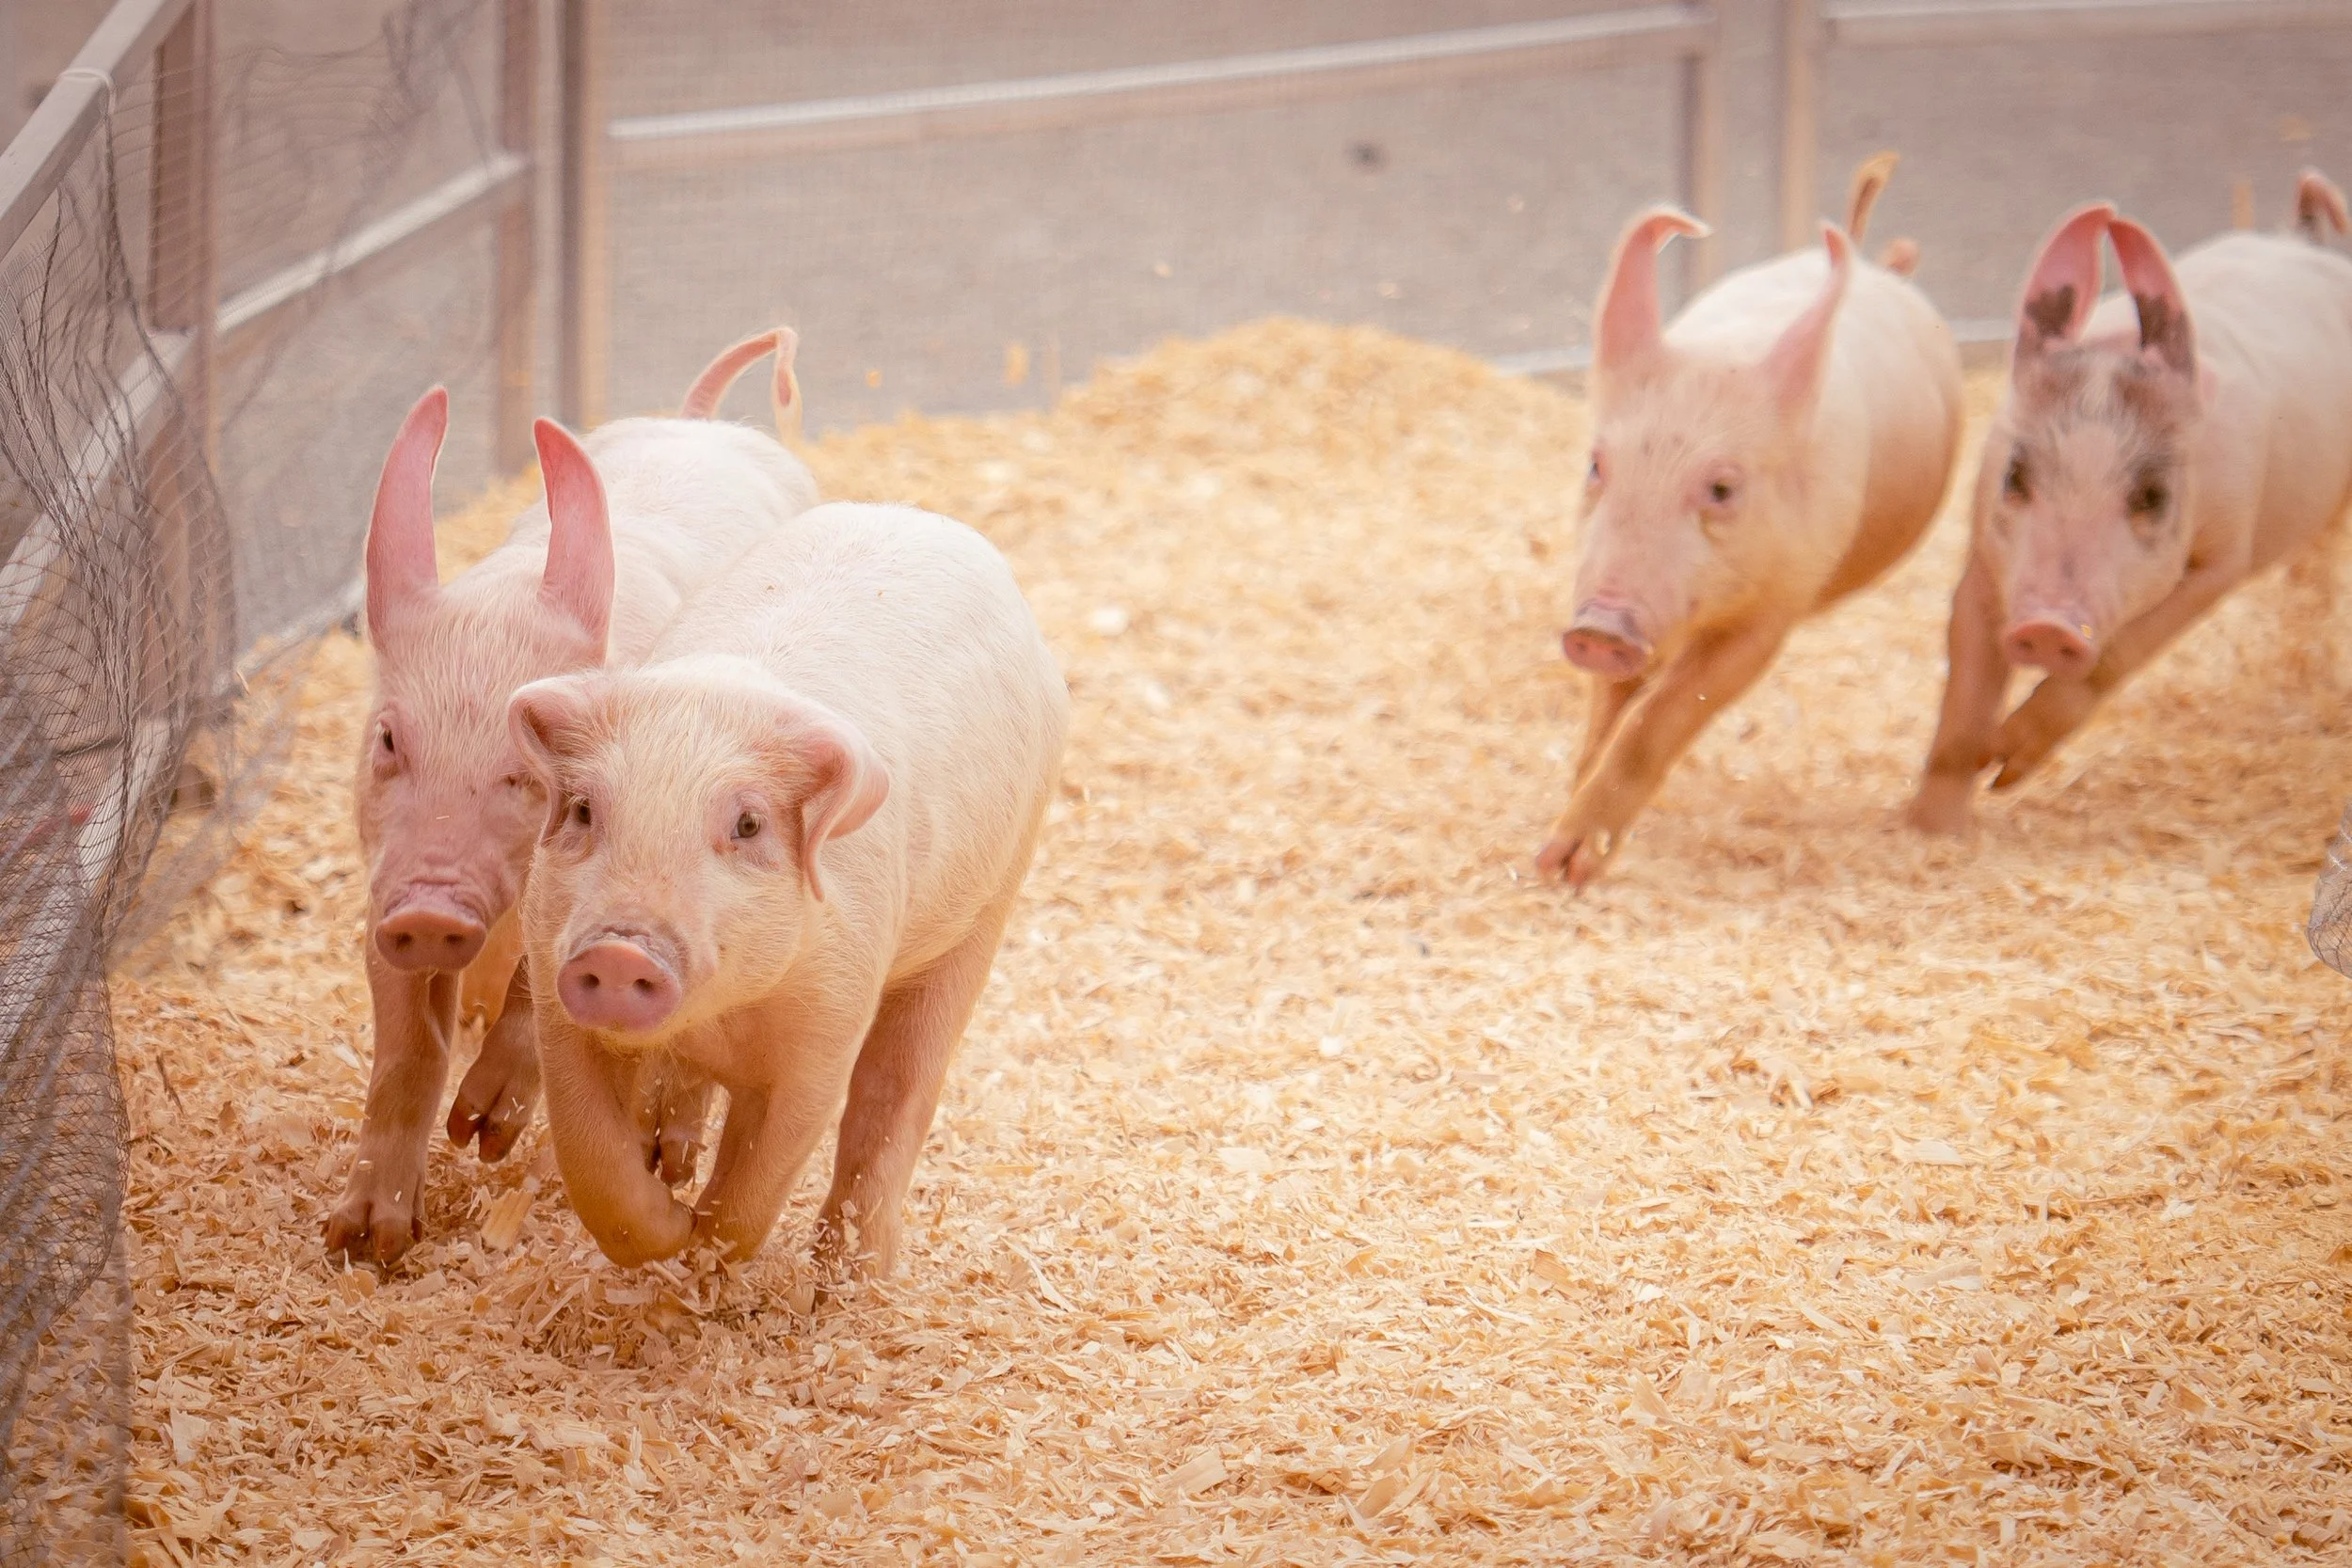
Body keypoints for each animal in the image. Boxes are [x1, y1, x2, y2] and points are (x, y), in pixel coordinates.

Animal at [326, 329, 815, 1264]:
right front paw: (363, 1243)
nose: (431, 907)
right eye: (389, 740)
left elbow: (536, 987)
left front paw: (486, 1132)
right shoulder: (379, 882)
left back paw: (669, 1155)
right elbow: (407, 1046)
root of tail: (700, 419)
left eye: (526, 765)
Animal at [506, 500, 1068, 1277]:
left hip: (992, 899)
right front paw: (667, 1226)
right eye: (587, 810)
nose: (620, 951)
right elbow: (593, 1158)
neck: (717, 1016)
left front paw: (697, 1251)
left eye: (747, 823)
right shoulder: (553, 979)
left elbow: (760, 1180)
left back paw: (855, 1281)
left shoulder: (829, 1018)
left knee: (895, 1092)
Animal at [1536, 154, 1965, 883]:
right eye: (1596, 464)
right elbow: (1611, 707)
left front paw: (1568, 864)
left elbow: (1666, 714)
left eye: (1722, 487)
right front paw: (1555, 833)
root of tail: (1876, 263)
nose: (1600, 629)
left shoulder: (1778, 605)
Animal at [1907, 170, 2352, 834]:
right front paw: (1935, 824)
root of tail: (2311, 240)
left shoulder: (2226, 555)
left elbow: (2119, 654)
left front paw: (2005, 765)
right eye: (2017, 474)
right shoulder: (1986, 554)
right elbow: (1965, 685)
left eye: (2151, 494)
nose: (2047, 627)